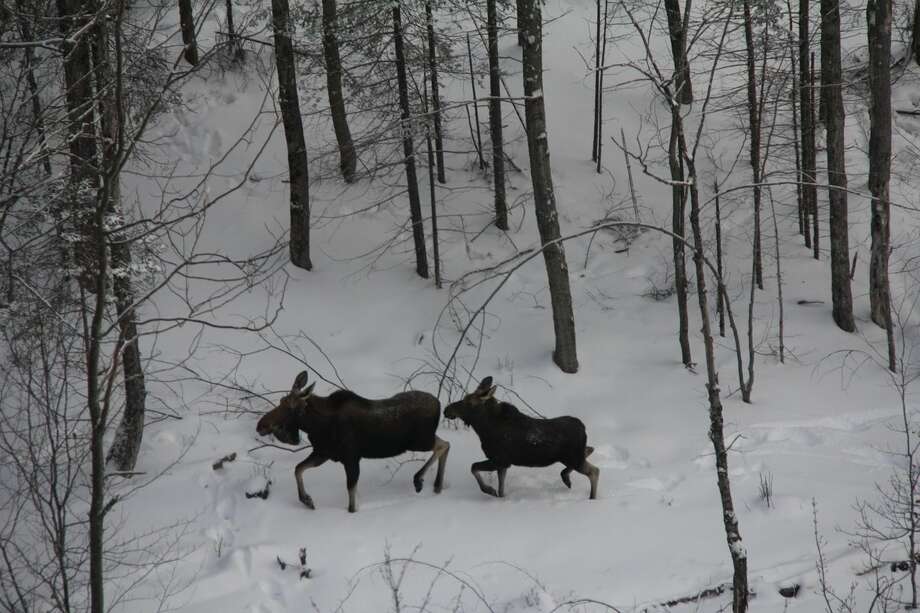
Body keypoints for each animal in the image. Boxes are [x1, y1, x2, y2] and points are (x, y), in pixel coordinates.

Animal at [256, 371, 450, 513]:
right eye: (281, 401)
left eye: (291, 408)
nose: (261, 425)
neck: (316, 426)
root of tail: (439, 404)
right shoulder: (323, 453)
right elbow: (298, 469)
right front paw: (307, 500)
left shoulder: (351, 458)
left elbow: (351, 495)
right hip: (421, 440)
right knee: (445, 444)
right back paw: (437, 487)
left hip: (420, 441)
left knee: (444, 444)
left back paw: (419, 480)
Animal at [443, 376, 599, 500]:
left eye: (469, 402)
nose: (446, 410)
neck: (483, 428)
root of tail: (583, 427)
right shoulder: (503, 464)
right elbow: (501, 490)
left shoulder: (500, 460)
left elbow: (473, 467)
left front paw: (489, 490)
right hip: (572, 457)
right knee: (590, 450)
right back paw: (567, 478)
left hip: (573, 458)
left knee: (594, 471)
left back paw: (591, 497)